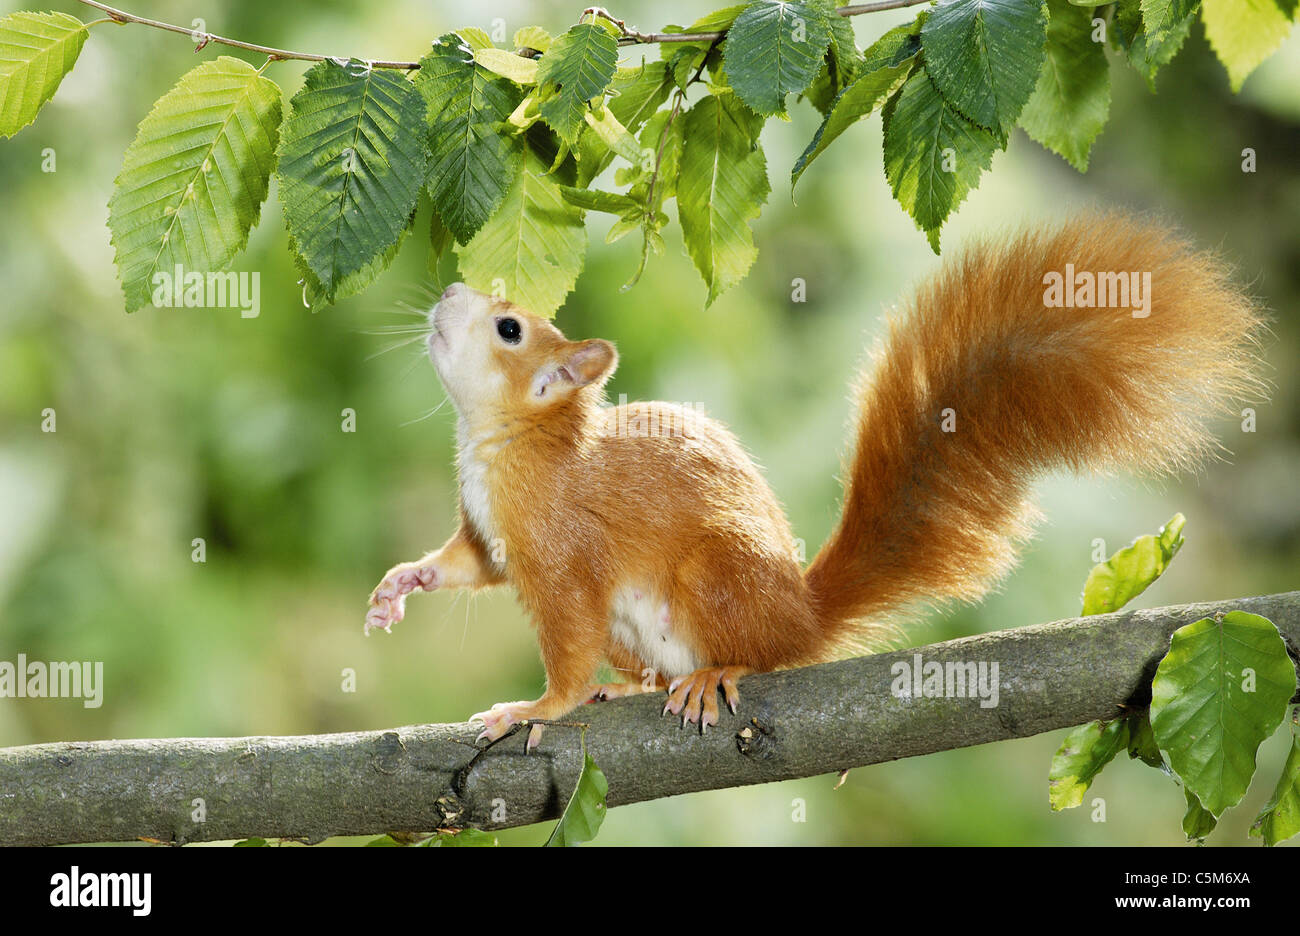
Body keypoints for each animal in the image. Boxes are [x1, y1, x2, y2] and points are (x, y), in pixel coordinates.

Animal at [365, 213, 1265, 748]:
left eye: (509, 328)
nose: (450, 288)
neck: (507, 446)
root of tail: (803, 614)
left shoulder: (565, 559)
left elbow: (565, 643)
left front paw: (536, 708)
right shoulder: (488, 530)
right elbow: (466, 564)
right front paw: (399, 584)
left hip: (712, 579)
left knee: (764, 657)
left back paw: (716, 673)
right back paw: (630, 688)